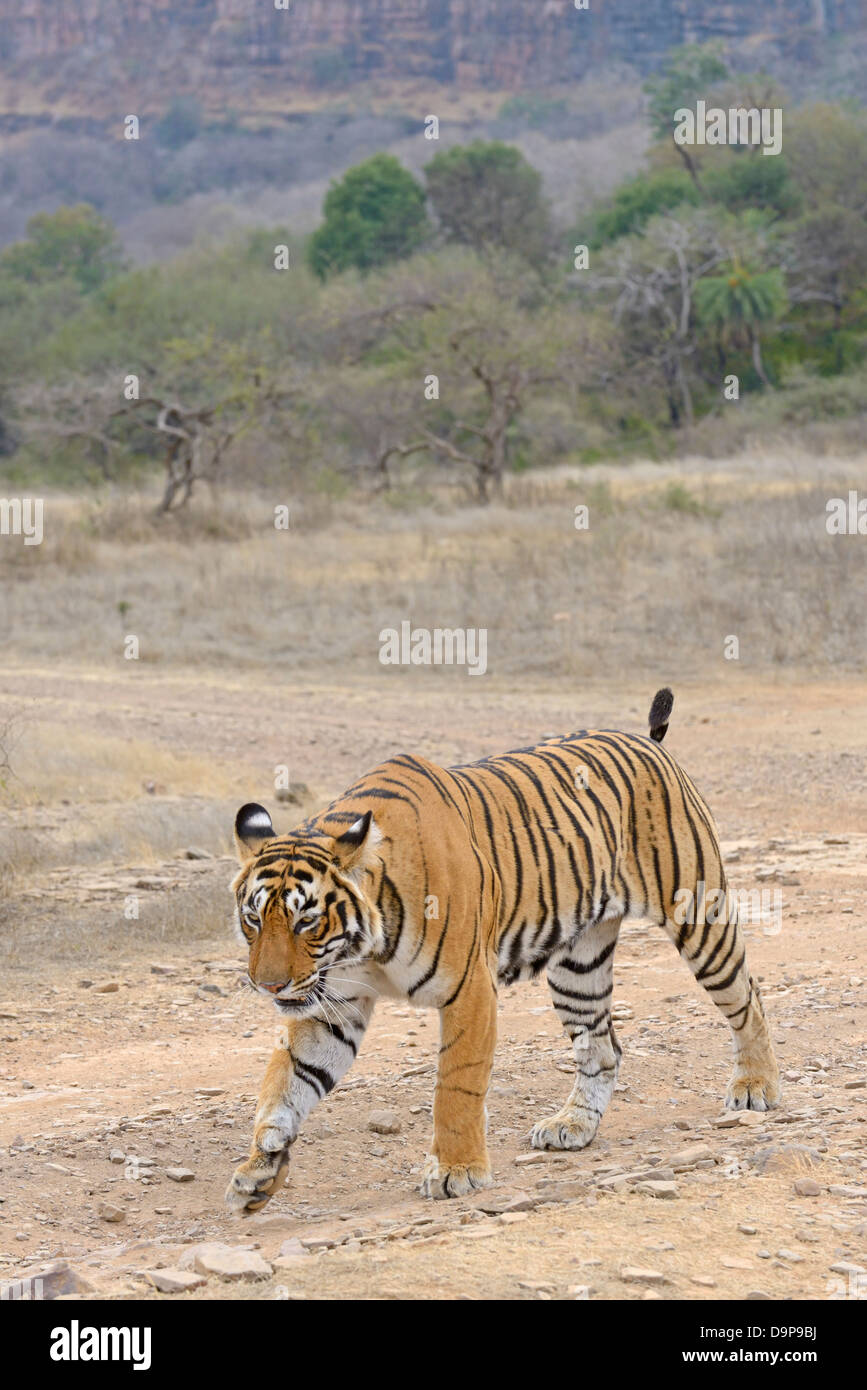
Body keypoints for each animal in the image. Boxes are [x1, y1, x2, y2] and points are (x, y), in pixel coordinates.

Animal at [226, 688, 779, 1213]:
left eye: (306, 920)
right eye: (253, 918)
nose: (268, 985)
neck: (365, 946)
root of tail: (648, 742)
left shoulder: (468, 989)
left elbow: (456, 1084)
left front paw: (456, 1171)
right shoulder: (333, 1004)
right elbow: (287, 1080)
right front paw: (260, 1166)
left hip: (699, 915)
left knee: (747, 998)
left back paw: (756, 1089)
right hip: (577, 967)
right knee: (603, 1049)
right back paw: (573, 1126)